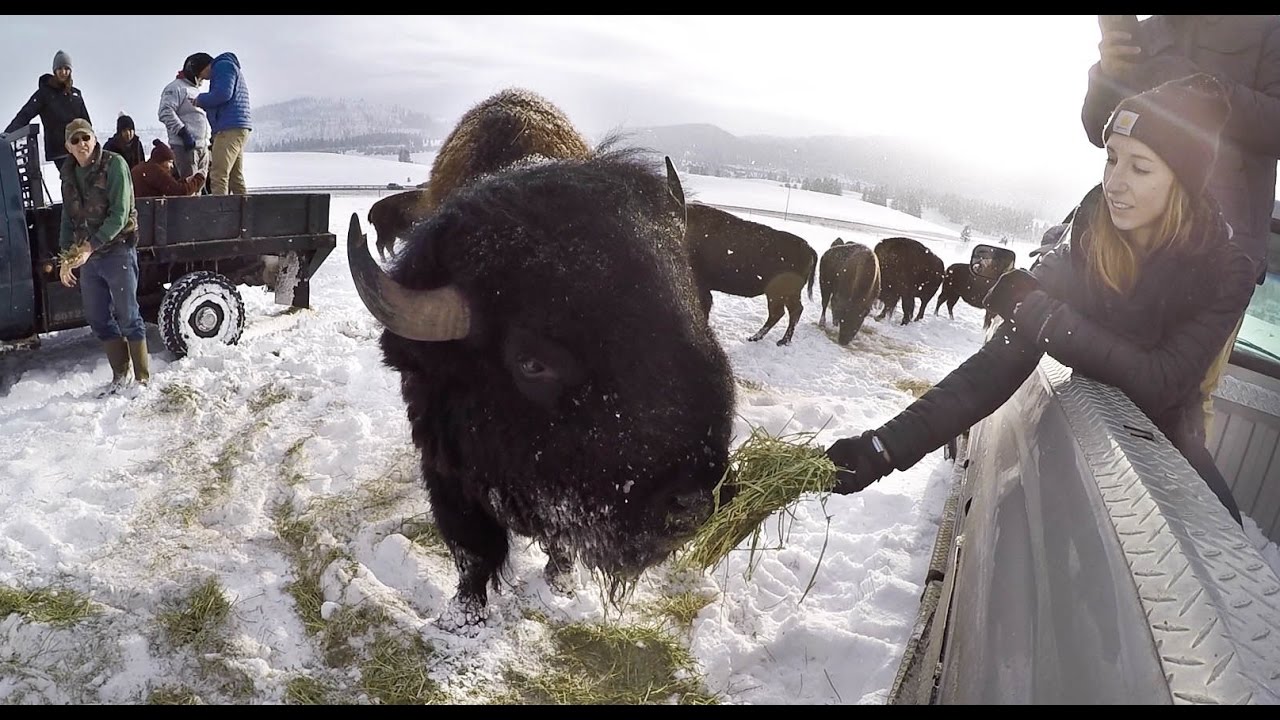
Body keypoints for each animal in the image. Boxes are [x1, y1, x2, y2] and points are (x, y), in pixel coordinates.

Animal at [347, 89, 736, 634]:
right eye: (532, 363)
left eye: (698, 307)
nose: (693, 500)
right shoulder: (445, 468)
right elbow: (472, 548)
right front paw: (464, 616)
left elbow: (556, 537)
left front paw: (560, 582)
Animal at [686, 203, 817, 346]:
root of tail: (809, 248)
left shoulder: (700, 285)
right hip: (781, 295)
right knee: (784, 312)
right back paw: (761, 338)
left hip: (781, 294)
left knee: (787, 312)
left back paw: (779, 340)